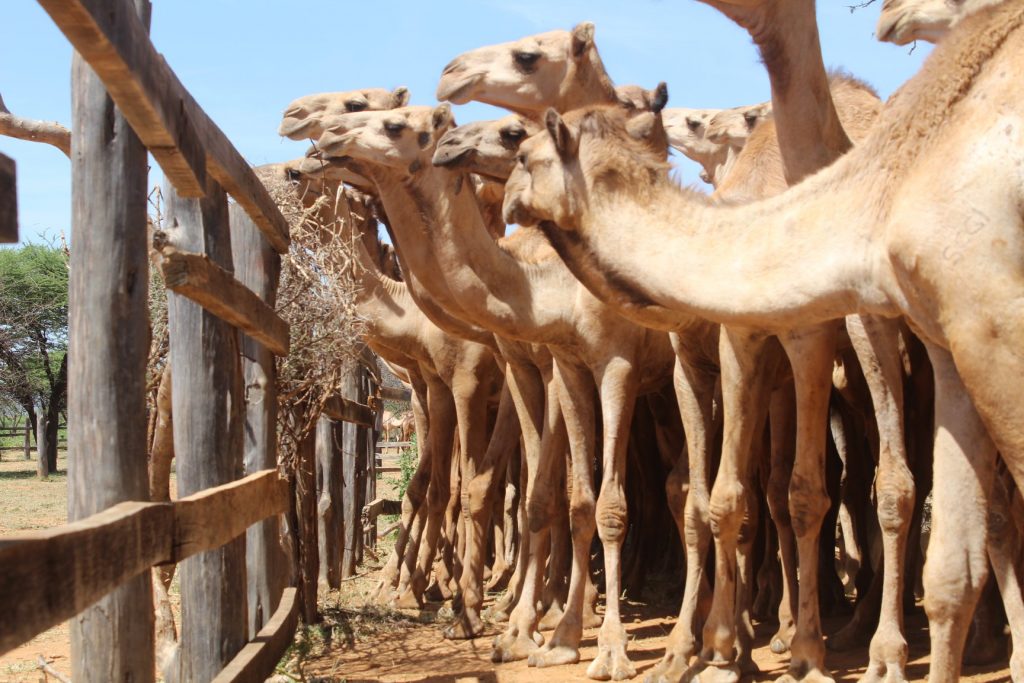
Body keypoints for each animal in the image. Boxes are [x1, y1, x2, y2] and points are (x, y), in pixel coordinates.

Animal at [502, 5, 1024, 682]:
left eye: (526, 156)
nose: (508, 204)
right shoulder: (946, 343)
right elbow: (948, 567)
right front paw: (714, 650)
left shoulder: (976, 325)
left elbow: (823, 490)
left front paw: (791, 650)